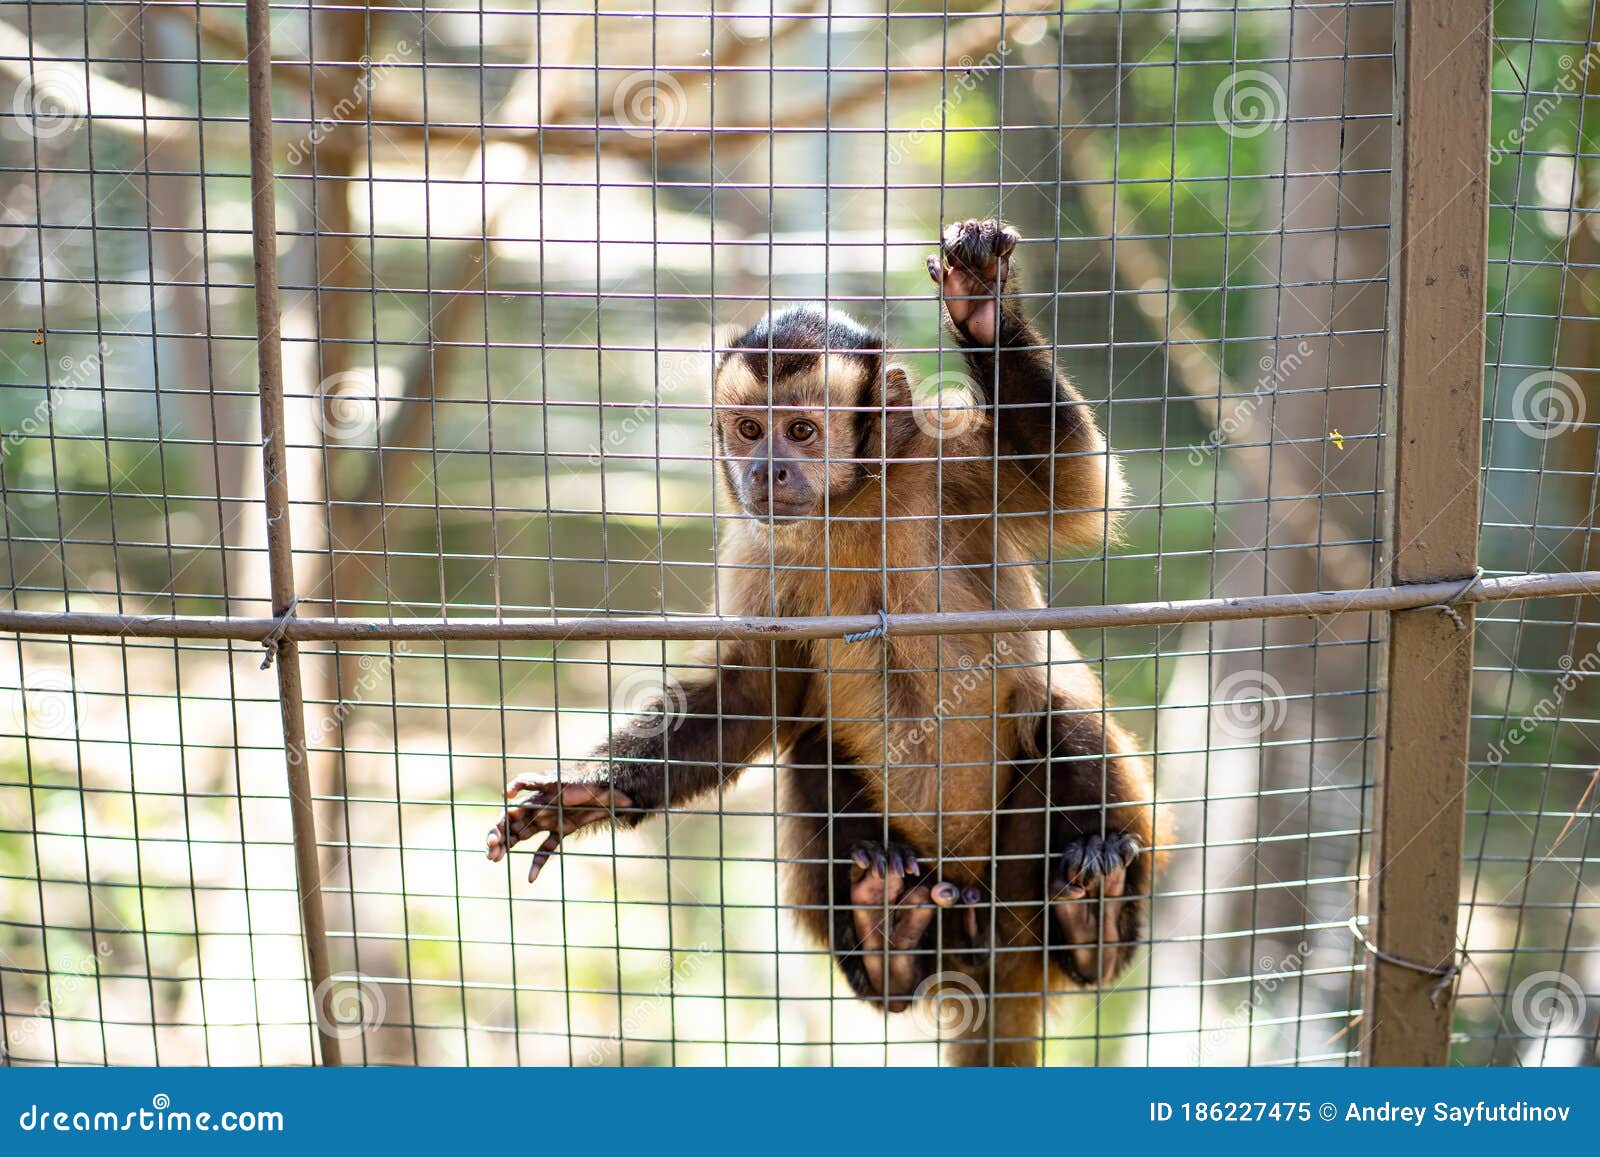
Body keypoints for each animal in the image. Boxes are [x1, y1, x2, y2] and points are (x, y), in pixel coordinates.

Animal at [485, 219, 1160, 1066]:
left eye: (801, 431)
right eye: (749, 429)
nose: (766, 469)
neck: (852, 501)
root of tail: (983, 942)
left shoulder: (946, 459)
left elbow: (1075, 489)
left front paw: (980, 307)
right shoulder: (756, 545)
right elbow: (749, 694)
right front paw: (589, 792)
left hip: (1032, 873)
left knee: (1058, 711)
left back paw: (1091, 922)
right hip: (926, 889)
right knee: (816, 751)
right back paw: (888, 939)